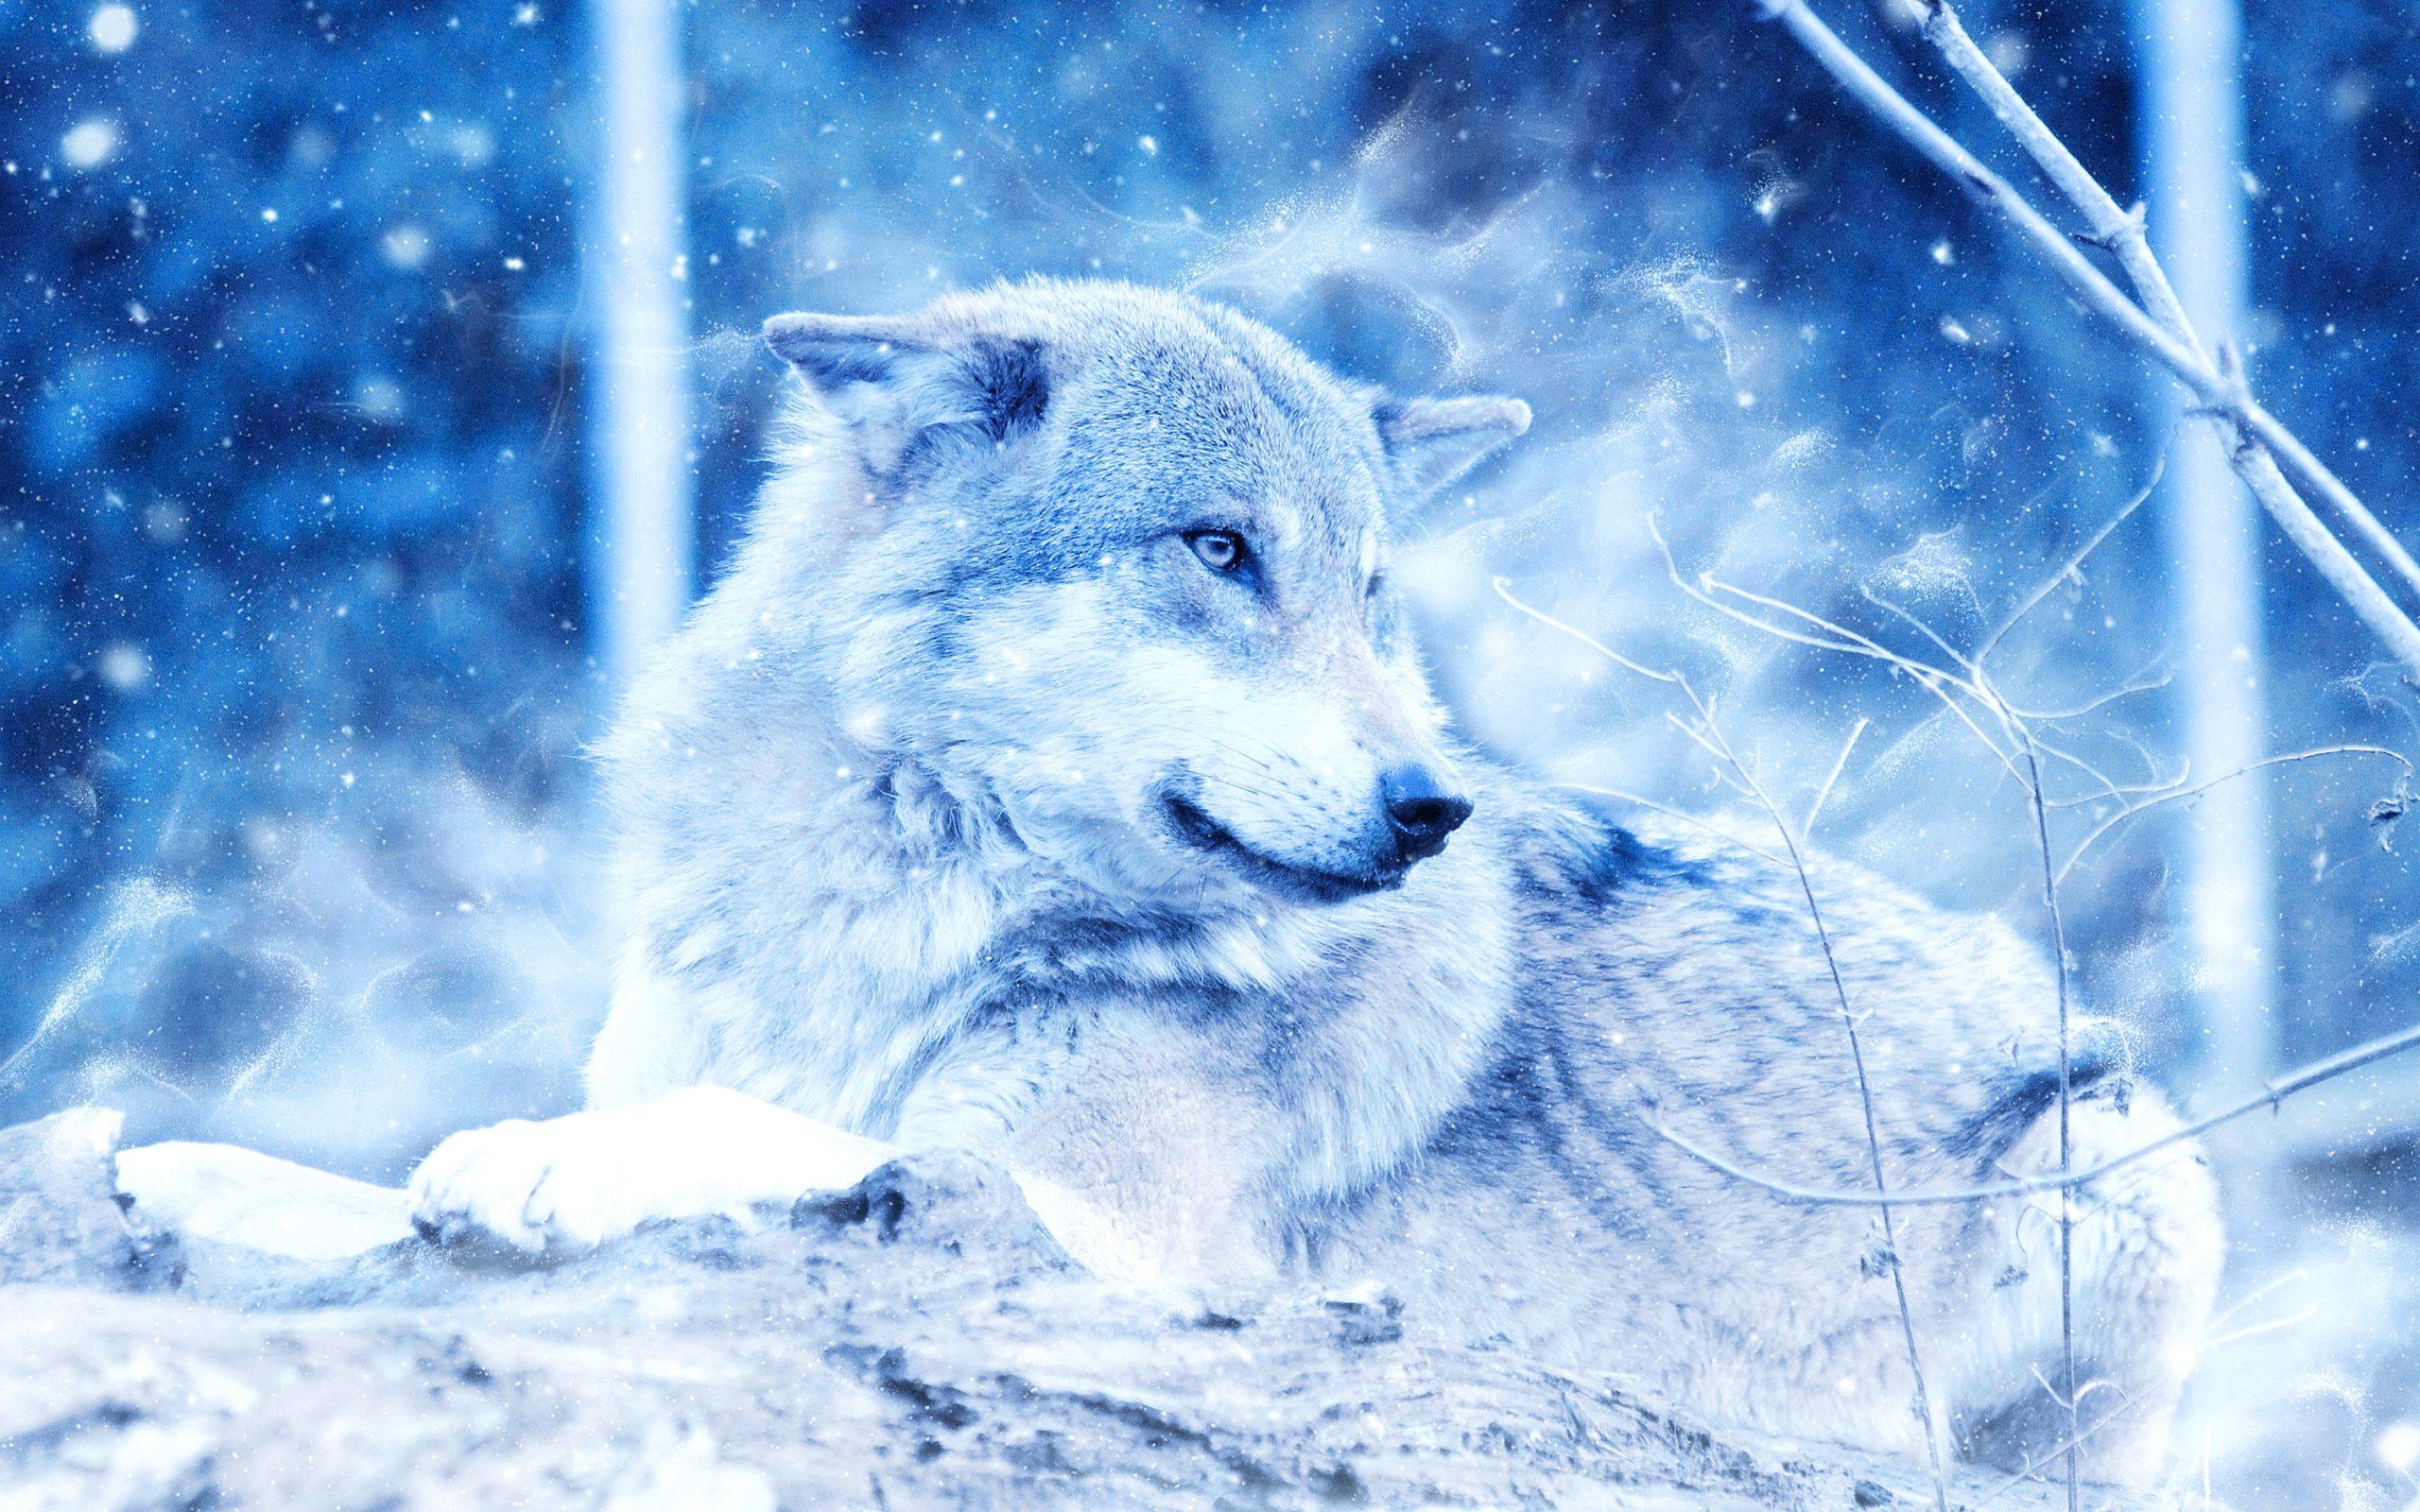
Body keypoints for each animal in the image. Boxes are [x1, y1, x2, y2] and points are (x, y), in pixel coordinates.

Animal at [409, 278, 2220, 1483]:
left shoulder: (1113, 1235)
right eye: (1220, 551)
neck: (889, 914)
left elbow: (769, 1132)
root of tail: (2037, 981)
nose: (1436, 809)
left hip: (2117, 1151)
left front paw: (536, 1159)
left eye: (1370, 592)